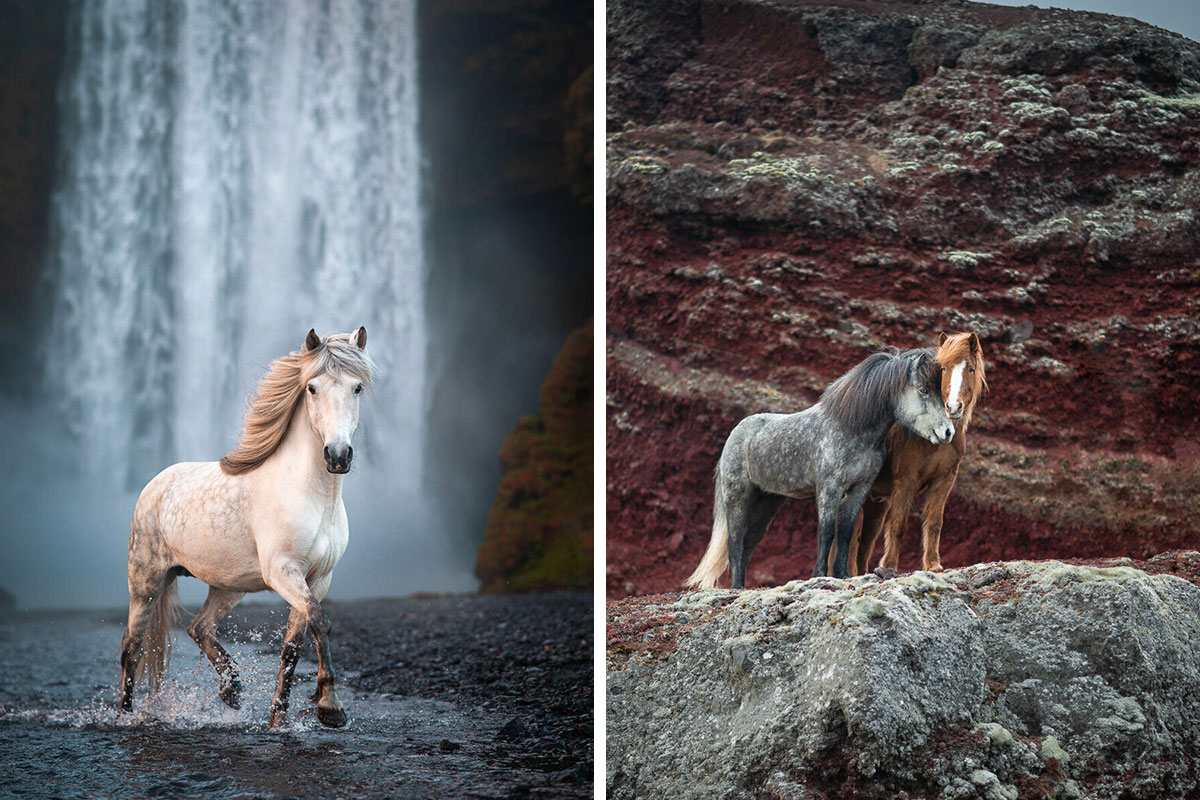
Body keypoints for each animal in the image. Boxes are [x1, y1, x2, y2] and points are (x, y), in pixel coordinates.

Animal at [118, 327, 375, 728]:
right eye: (312, 387)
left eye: (357, 387)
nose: (337, 455)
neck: (315, 496)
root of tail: (156, 485)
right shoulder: (283, 572)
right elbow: (320, 621)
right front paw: (331, 708)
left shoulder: (318, 578)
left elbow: (293, 646)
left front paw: (279, 721)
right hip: (145, 582)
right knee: (132, 648)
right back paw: (124, 717)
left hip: (228, 585)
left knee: (199, 627)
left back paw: (232, 689)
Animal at [684, 348, 954, 588]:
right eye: (923, 390)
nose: (948, 432)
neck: (851, 428)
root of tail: (735, 434)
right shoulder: (829, 488)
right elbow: (826, 531)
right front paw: (819, 574)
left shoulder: (859, 490)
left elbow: (844, 531)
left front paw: (842, 574)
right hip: (738, 497)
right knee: (735, 542)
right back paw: (736, 587)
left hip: (768, 501)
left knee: (749, 543)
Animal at [846, 332, 987, 575]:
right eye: (943, 368)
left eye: (970, 369)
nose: (953, 407)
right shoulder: (906, 480)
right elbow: (899, 524)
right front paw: (889, 566)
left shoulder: (944, 481)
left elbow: (934, 522)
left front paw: (933, 564)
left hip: (875, 504)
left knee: (864, 544)